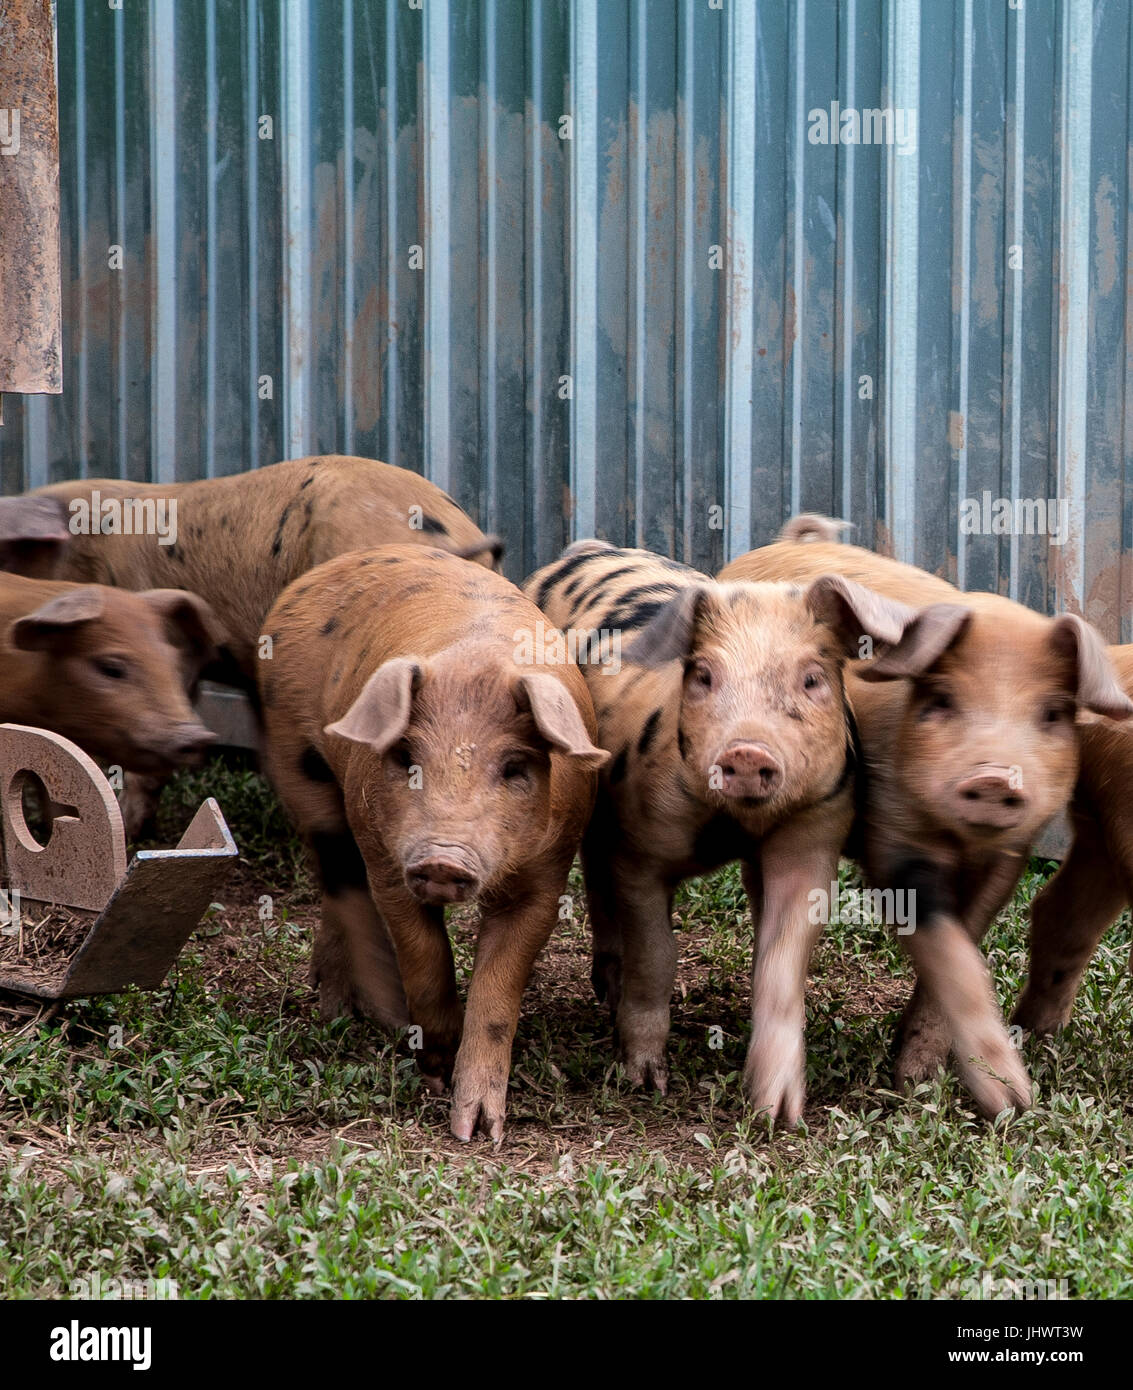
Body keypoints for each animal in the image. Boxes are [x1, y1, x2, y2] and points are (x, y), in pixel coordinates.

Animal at [258, 545, 607, 1142]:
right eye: (406, 759)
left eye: (515, 767)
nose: (444, 858)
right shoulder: (390, 863)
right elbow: (423, 956)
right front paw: (434, 1070)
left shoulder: (547, 874)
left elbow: (498, 991)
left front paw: (478, 1131)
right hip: (297, 761)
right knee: (337, 876)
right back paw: (354, 1013)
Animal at [523, 540, 919, 1123]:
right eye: (704, 676)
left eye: (812, 679)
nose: (748, 750)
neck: (738, 825)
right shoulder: (641, 846)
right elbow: (657, 955)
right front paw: (645, 1081)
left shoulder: (813, 833)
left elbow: (781, 964)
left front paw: (777, 1113)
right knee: (595, 868)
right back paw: (608, 992)